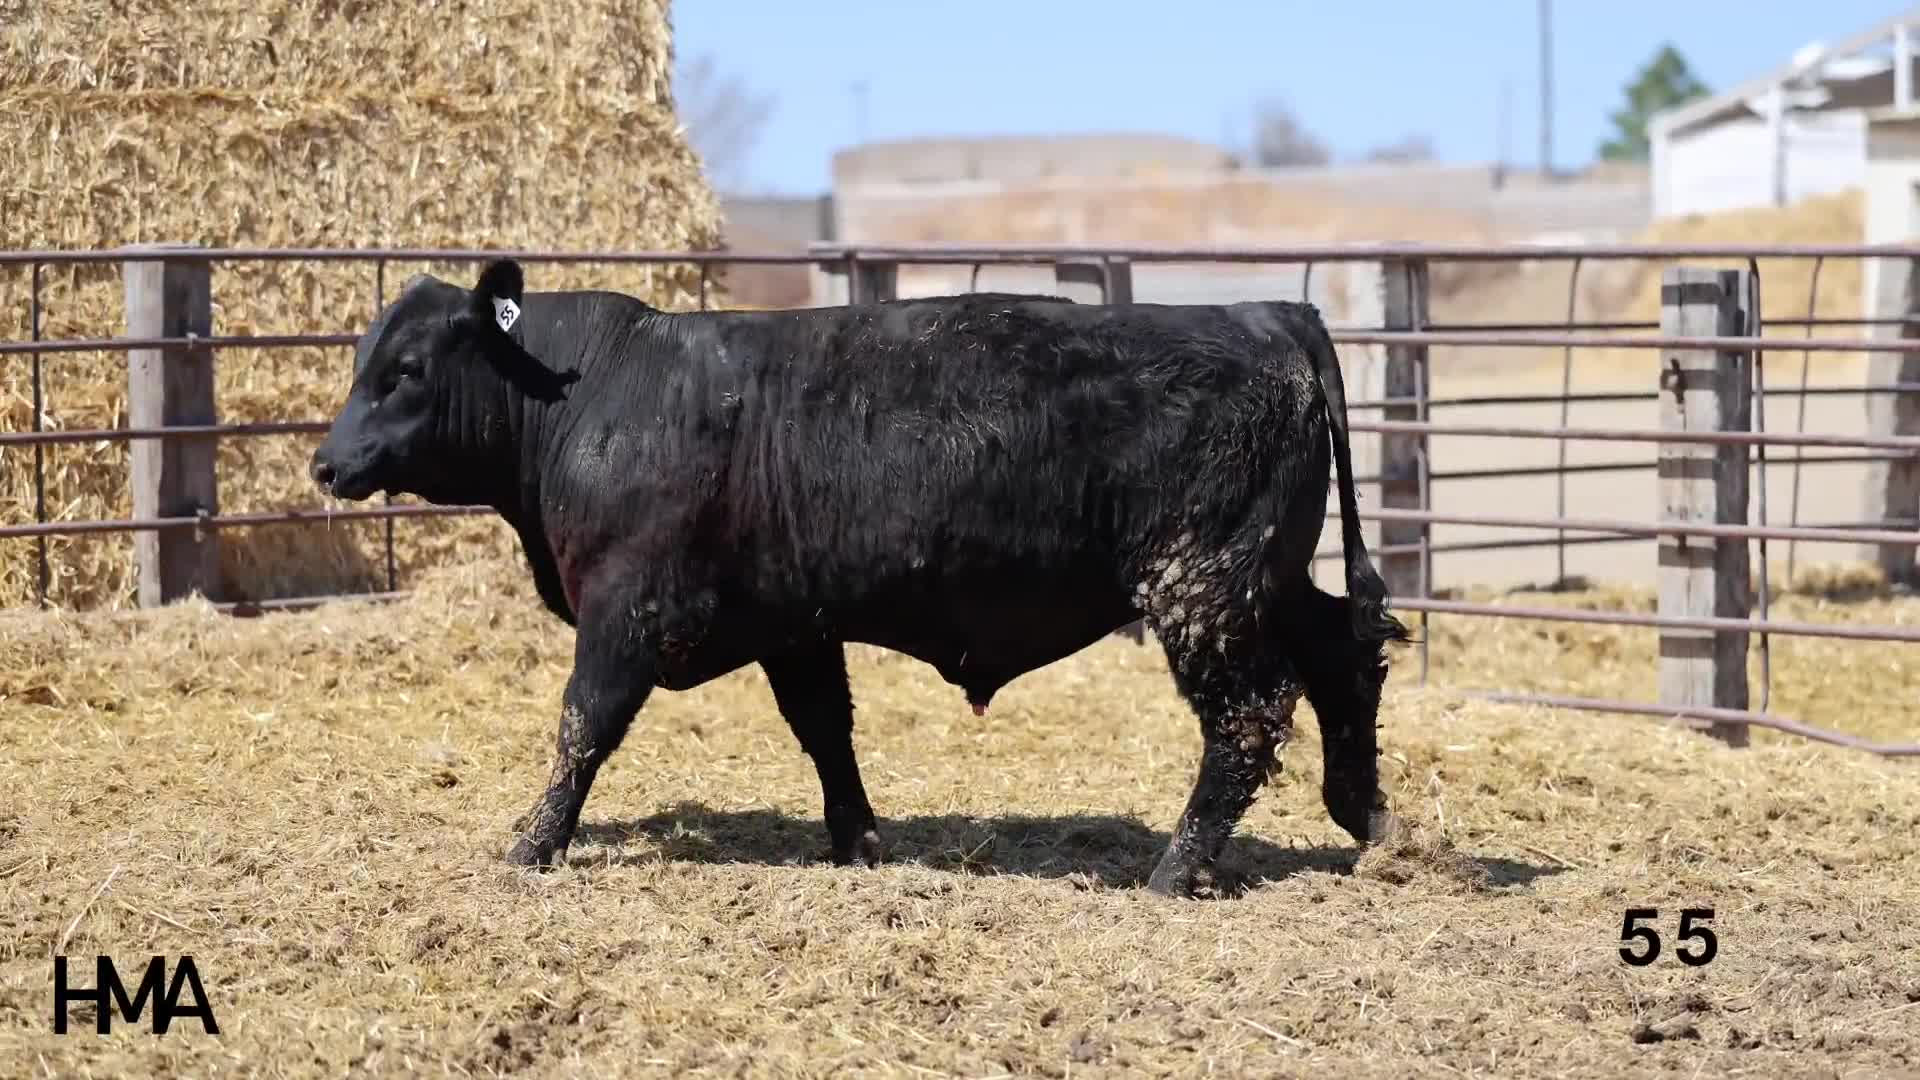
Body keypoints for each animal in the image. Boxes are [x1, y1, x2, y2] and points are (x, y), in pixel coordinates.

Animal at [308, 259, 1411, 898]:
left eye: (405, 371)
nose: (325, 464)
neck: (597, 392)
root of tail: (1263, 312)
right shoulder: (793, 623)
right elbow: (824, 731)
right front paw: (858, 841)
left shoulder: (628, 613)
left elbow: (582, 730)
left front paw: (533, 844)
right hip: (1266, 580)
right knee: (1346, 655)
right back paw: (1367, 820)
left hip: (1203, 590)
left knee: (1249, 719)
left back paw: (1177, 868)